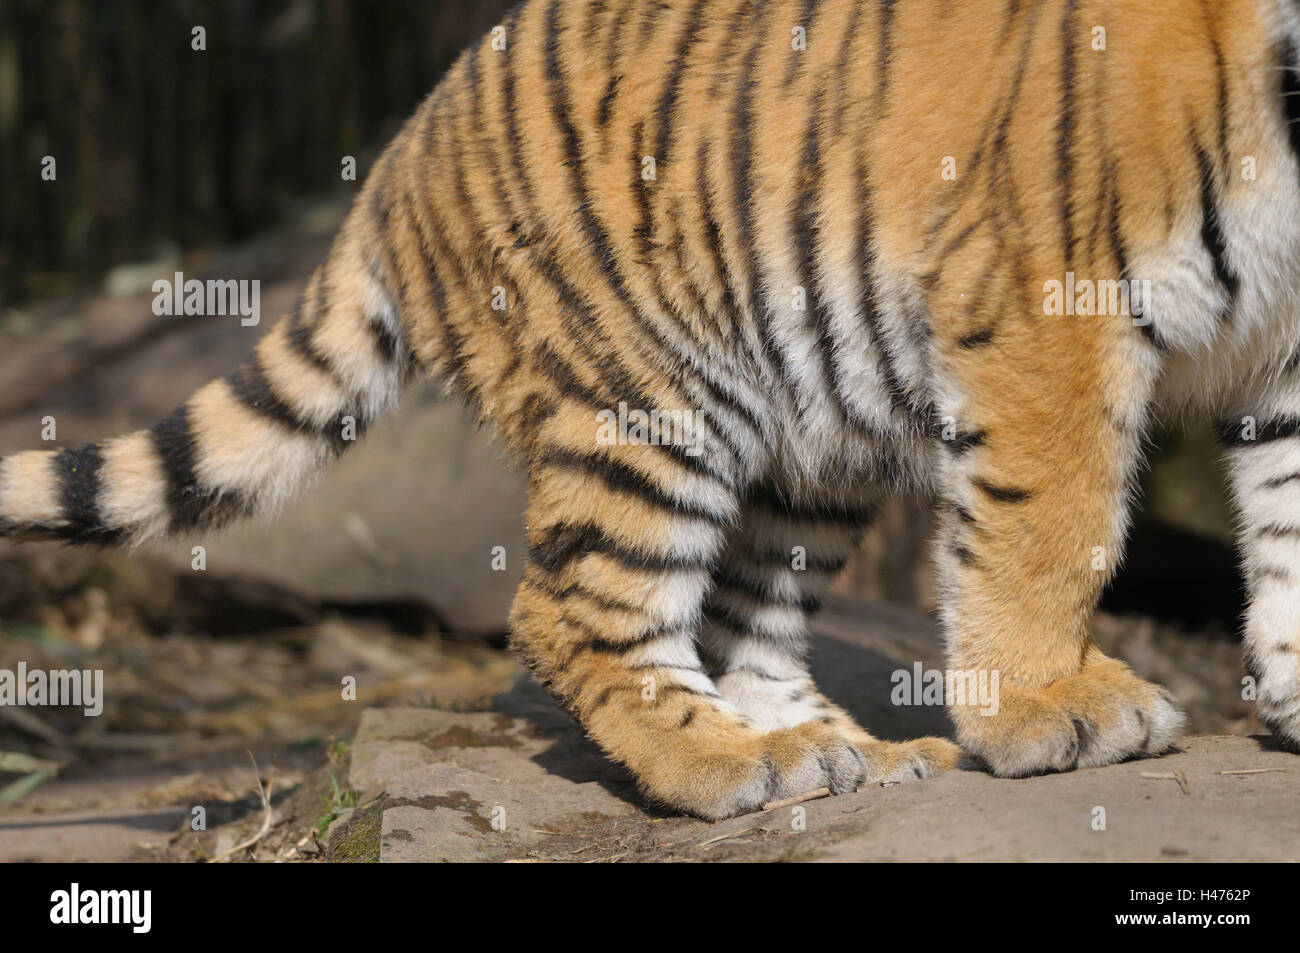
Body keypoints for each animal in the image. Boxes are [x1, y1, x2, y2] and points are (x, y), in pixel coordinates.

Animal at [5, 0, 1300, 821]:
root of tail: (401, 147)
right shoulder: (1046, 306)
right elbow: (1050, 526)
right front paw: (1047, 710)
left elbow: (1284, 532)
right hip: (649, 401)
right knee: (572, 610)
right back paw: (724, 770)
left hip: (811, 423)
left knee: (741, 615)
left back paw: (827, 753)